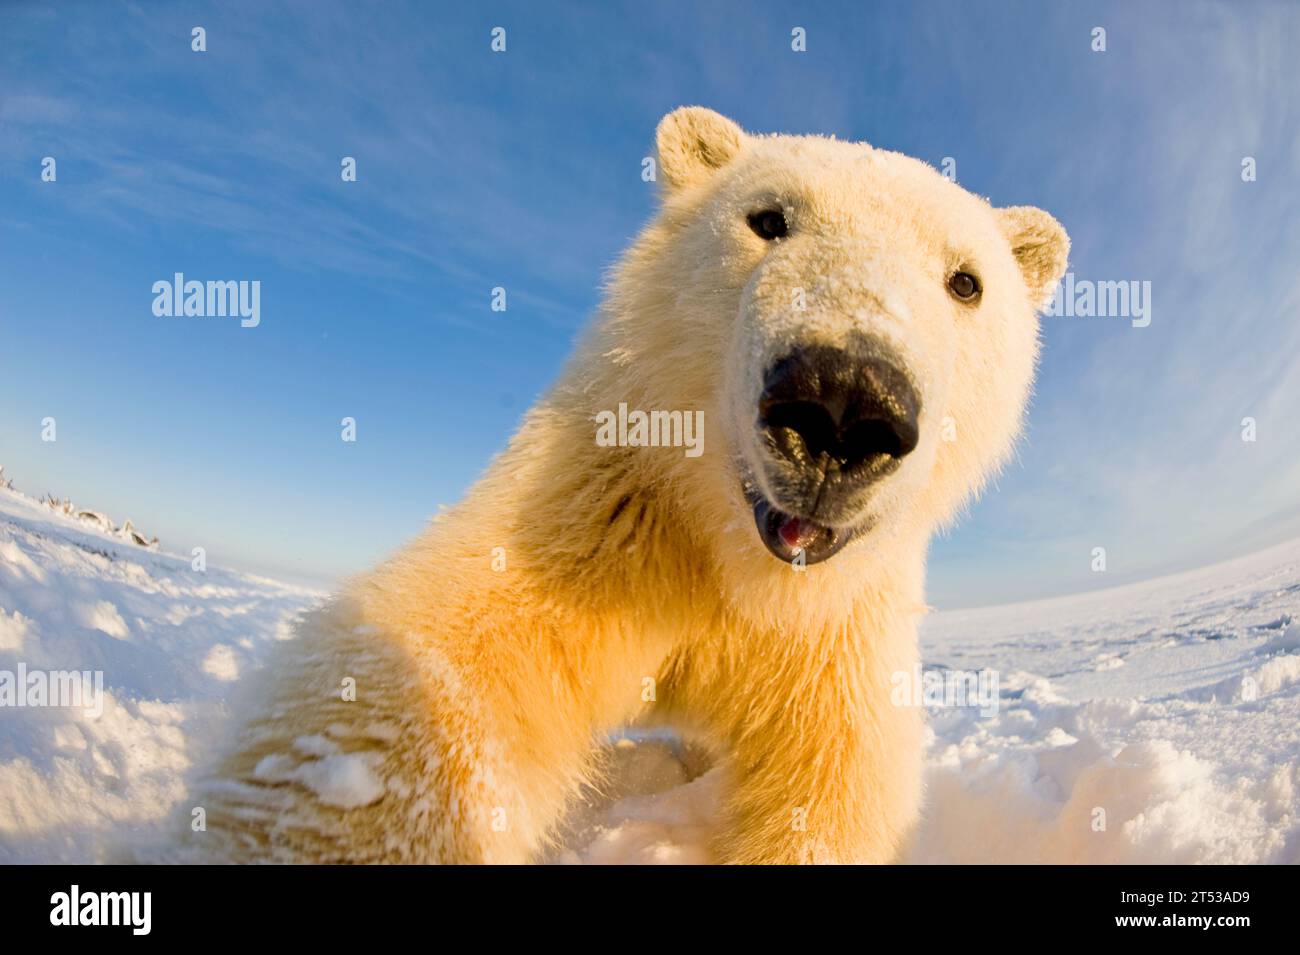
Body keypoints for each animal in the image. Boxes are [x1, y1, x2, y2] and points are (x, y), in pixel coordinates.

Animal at [179, 107, 1068, 864]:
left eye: (966, 281)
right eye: (768, 219)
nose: (842, 404)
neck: (731, 552)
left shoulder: (835, 623)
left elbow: (835, 780)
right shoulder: (604, 507)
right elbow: (432, 670)